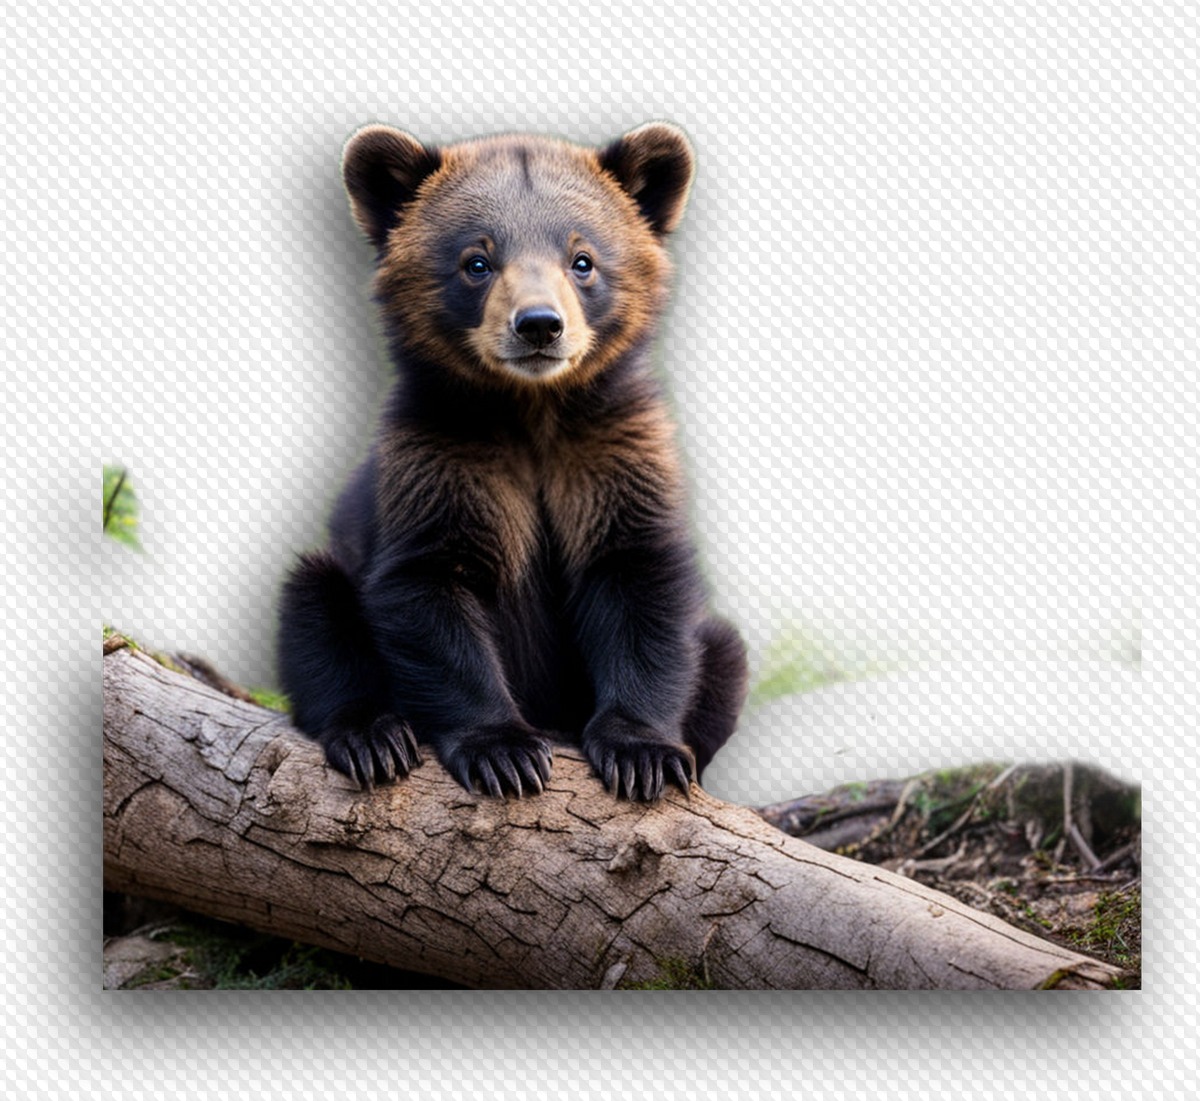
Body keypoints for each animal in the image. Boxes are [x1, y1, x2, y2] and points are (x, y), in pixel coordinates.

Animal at [277, 121, 749, 801]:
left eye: (582, 259)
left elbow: (640, 581)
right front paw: (503, 751)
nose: (539, 326)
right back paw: (373, 738)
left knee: (725, 650)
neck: (532, 413)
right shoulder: (442, 455)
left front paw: (644, 755)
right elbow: (427, 587)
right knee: (314, 608)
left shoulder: (612, 452)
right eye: (477, 260)